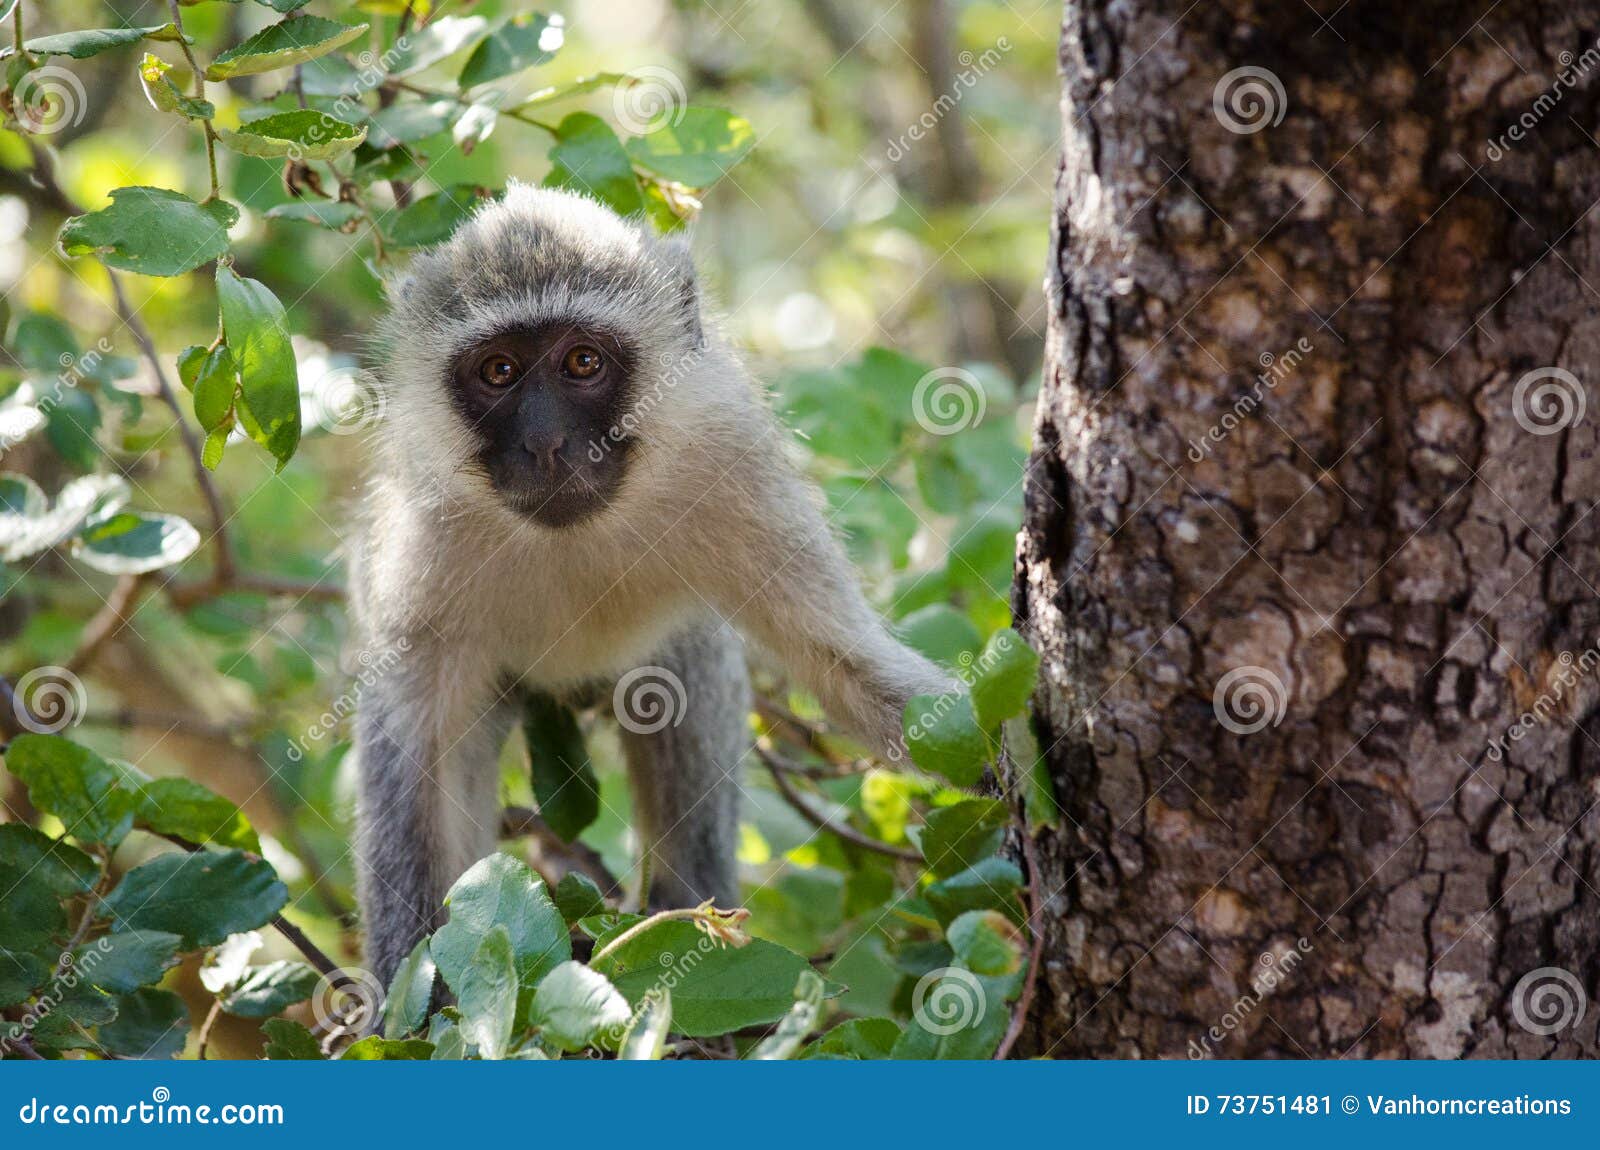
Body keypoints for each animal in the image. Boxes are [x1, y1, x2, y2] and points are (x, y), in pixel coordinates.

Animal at [350, 183, 956, 989]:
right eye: (499, 372)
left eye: (582, 361)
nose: (544, 444)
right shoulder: (423, 535)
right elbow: (411, 746)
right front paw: (404, 993)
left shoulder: (734, 464)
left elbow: (847, 665)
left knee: (685, 682)